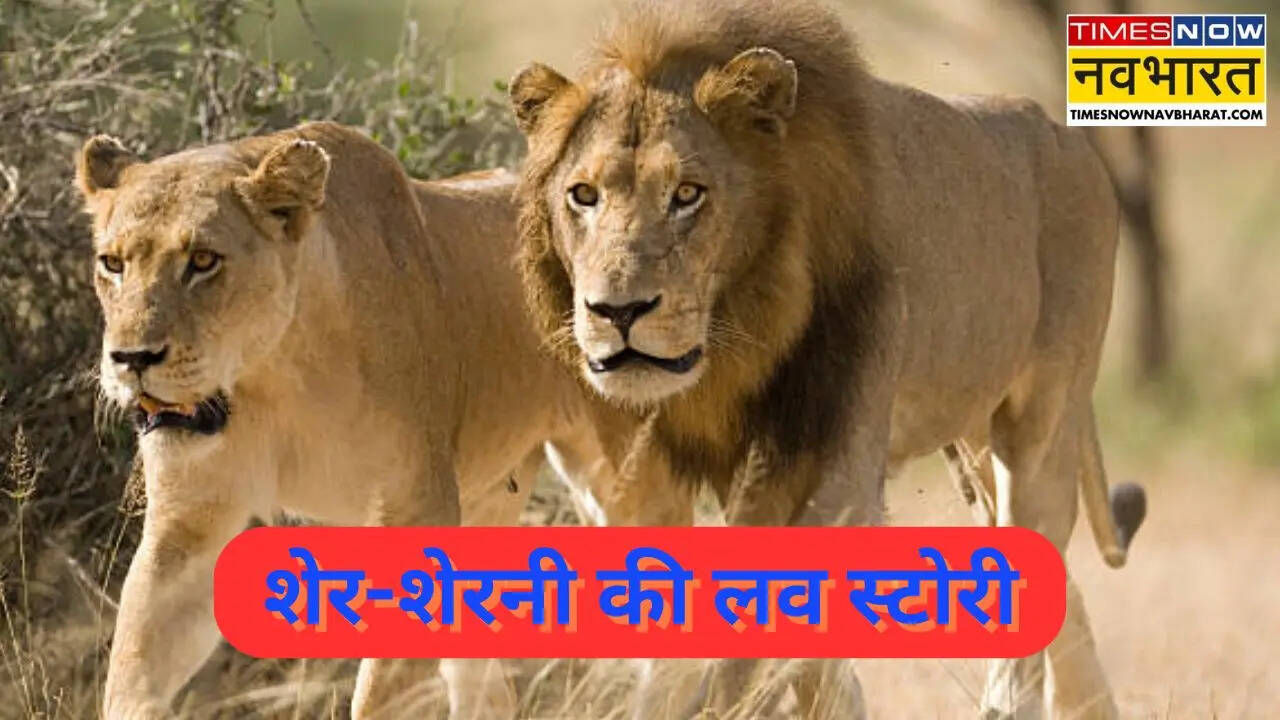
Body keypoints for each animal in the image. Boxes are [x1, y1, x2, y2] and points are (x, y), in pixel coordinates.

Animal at [78, 121, 691, 719]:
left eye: (203, 261)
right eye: (112, 264)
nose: (132, 359)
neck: (271, 375)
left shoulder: (416, 509)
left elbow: (379, 691)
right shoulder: (188, 526)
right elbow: (135, 666)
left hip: (622, 479)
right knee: (486, 687)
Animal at [508, 0, 1147, 717]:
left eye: (688, 194)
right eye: (583, 195)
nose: (617, 311)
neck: (743, 335)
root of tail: (1071, 139)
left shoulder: (836, 446)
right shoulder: (708, 464)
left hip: (1041, 420)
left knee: (1035, 537)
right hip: (974, 443)